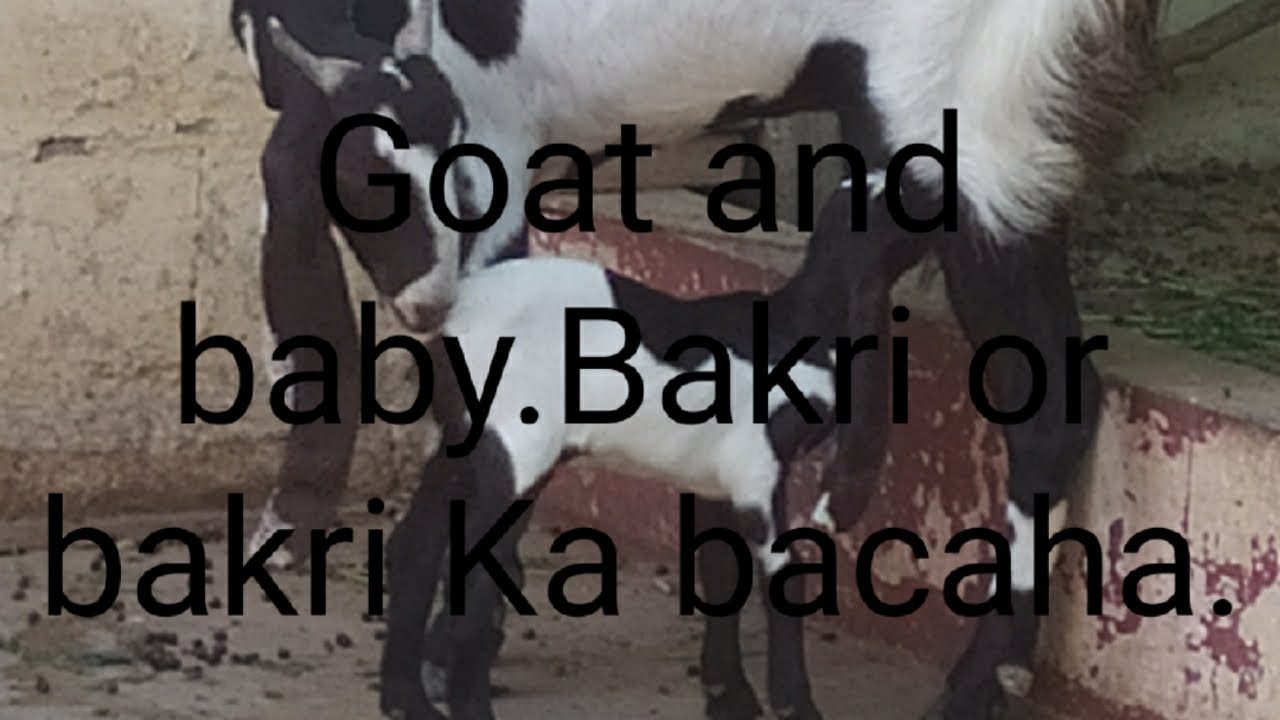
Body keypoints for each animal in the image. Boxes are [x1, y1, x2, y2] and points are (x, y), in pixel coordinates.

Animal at [380, 178, 909, 720]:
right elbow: (783, 576)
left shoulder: (711, 480)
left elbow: (720, 572)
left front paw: (730, 695)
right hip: (518, 449)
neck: (793, 326)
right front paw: (793, 703)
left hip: (461, 442)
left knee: (414, 549)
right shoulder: (755, 469)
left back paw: (406, 700)